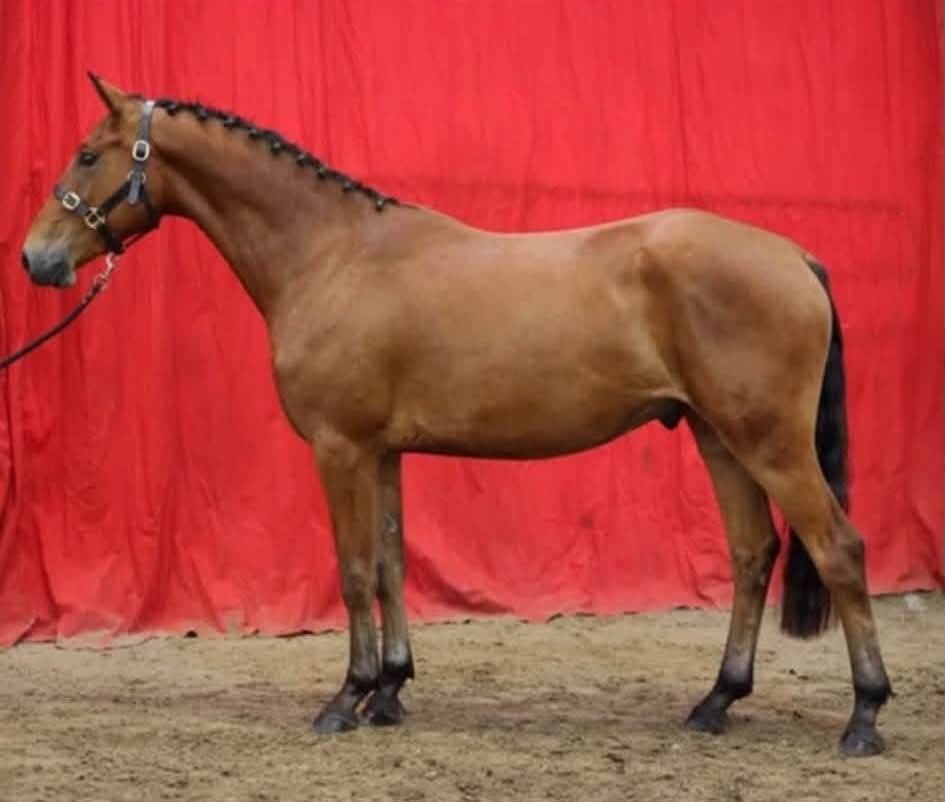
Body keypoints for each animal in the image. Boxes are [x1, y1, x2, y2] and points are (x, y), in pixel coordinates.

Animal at [20, 74, 892, 756]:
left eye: (89, 154)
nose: (37, 258)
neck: (333, 255)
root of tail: (793, 257)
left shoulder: (340, 449)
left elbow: (353, 569)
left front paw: (347, 697)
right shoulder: (382, 453)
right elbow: (391, 563)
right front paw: (390, 692)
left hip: (771, 443)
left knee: (838, 548)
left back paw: (863, 715)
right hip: (719, 437)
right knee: (751, 555)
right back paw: (715, 702)